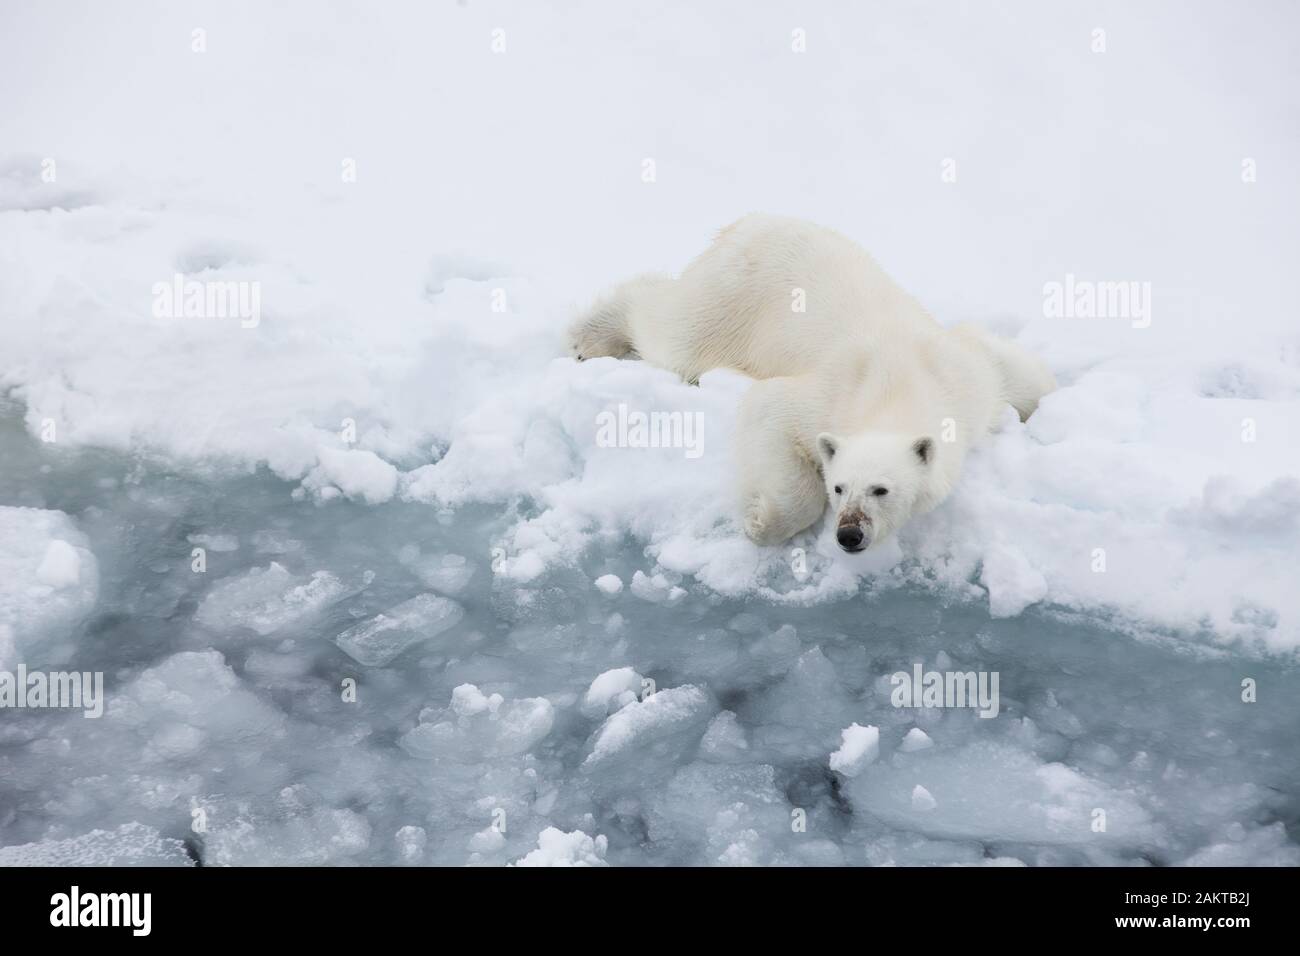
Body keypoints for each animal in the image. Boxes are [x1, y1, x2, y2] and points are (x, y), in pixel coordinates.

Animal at [569, 214, 1056, 551]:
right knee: (672, 331)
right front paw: (759, 521)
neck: (903, 383)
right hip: (731, 303)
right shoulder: (837, 391)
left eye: (881, 489)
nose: (849, 534)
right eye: (837, 486)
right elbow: (772, 409)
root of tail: (744, 224)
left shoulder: (967, 378)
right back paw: (589, 337)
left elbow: (1008, 367)